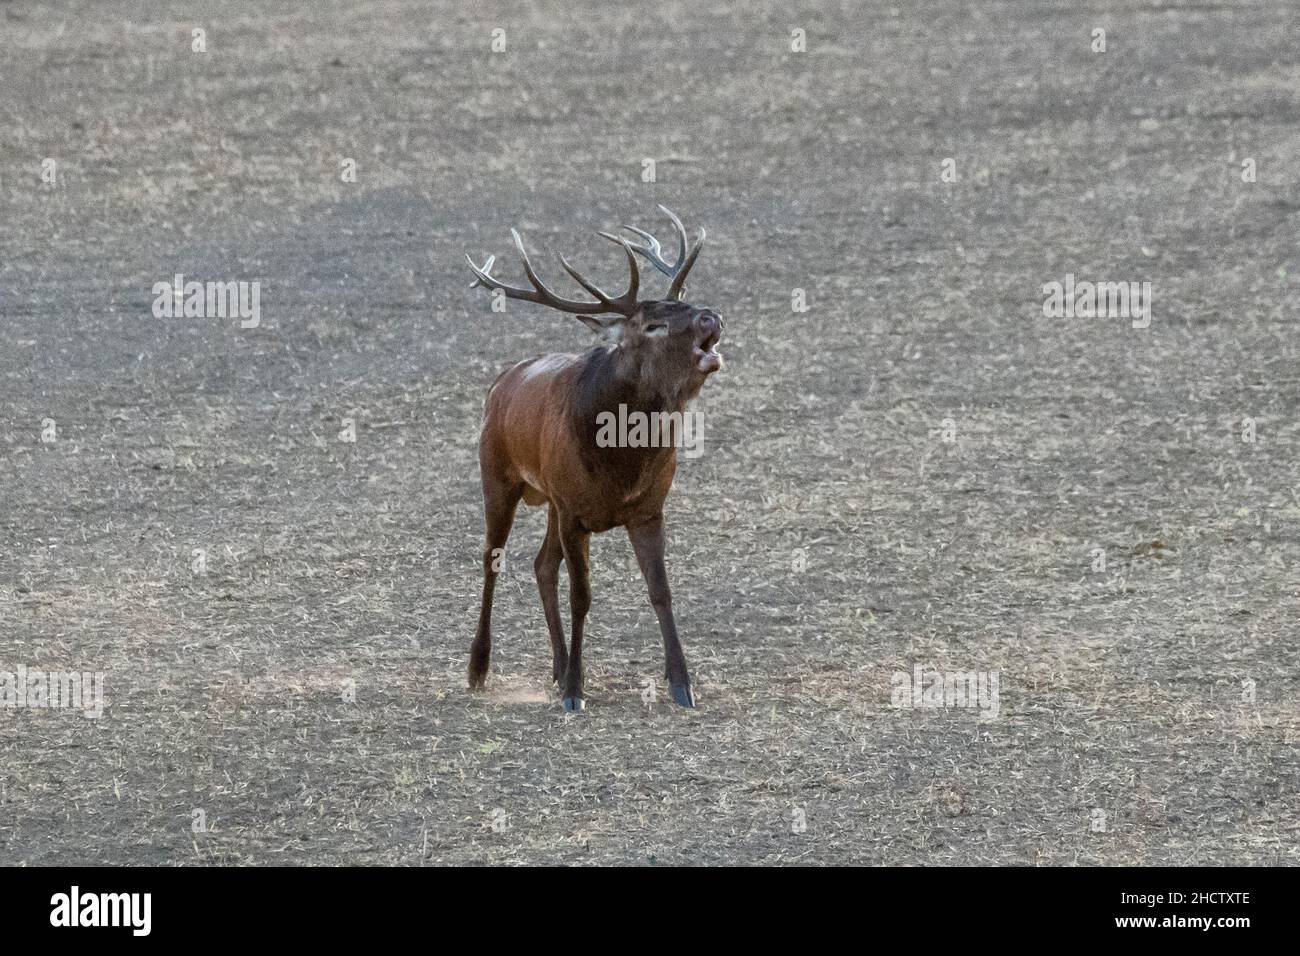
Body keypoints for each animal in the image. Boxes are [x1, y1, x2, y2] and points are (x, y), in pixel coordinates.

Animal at [464, 206, 723, 712]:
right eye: (653, 325)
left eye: (684, 304)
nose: (711, 316)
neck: (622, 465)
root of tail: (501, 382)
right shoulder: (573, 513)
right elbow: (581, 596)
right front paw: (575, 692)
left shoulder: (647, 509)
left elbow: (661, 591)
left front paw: (681, 683)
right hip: (498, 476)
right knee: (492, 559)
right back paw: (479, 668)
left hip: (549, 497)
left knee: (541, 565)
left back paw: (556, 666)